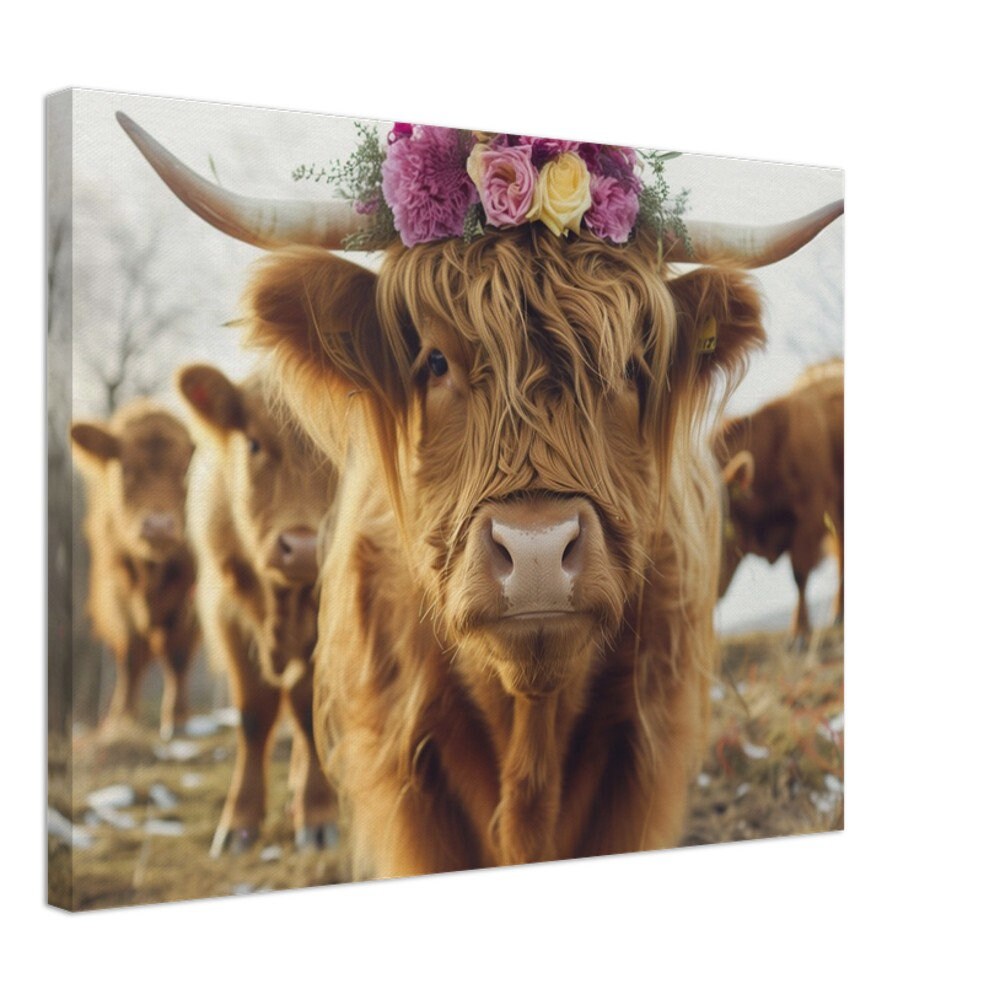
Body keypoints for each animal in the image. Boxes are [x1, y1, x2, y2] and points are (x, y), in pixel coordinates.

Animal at [71, 400, 198, 741]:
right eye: (127, 470)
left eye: (183, 470)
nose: (159, 526)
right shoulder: (118, 592)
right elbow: (130, 654)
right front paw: (122, 718)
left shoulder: (190, 596)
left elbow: (178, 655)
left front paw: (177, 718)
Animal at [178, 365, 339, 854]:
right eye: (253, 444)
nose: (303, 547)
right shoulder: (228, 617)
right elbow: (254, 715)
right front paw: (240, 823)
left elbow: (306, 709)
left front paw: (318, 813)